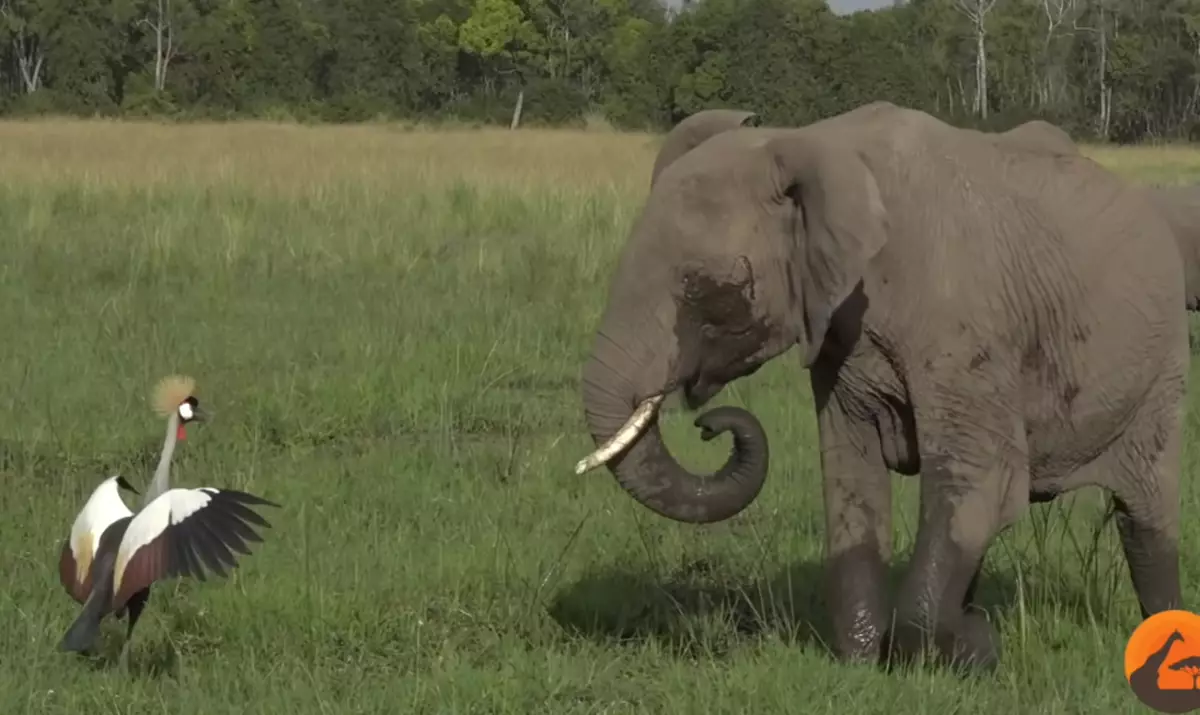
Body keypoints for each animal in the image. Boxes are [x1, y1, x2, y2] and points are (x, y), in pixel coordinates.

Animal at [576, 101, 1185, 671]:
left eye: (699, 286)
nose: (708, 425)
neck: (813, 140)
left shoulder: (963, 320)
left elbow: (982, 481)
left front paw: (963, 647)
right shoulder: (837, 331)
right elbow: (852, 478)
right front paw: (866, 662)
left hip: (1161, 365)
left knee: (1144, 515)